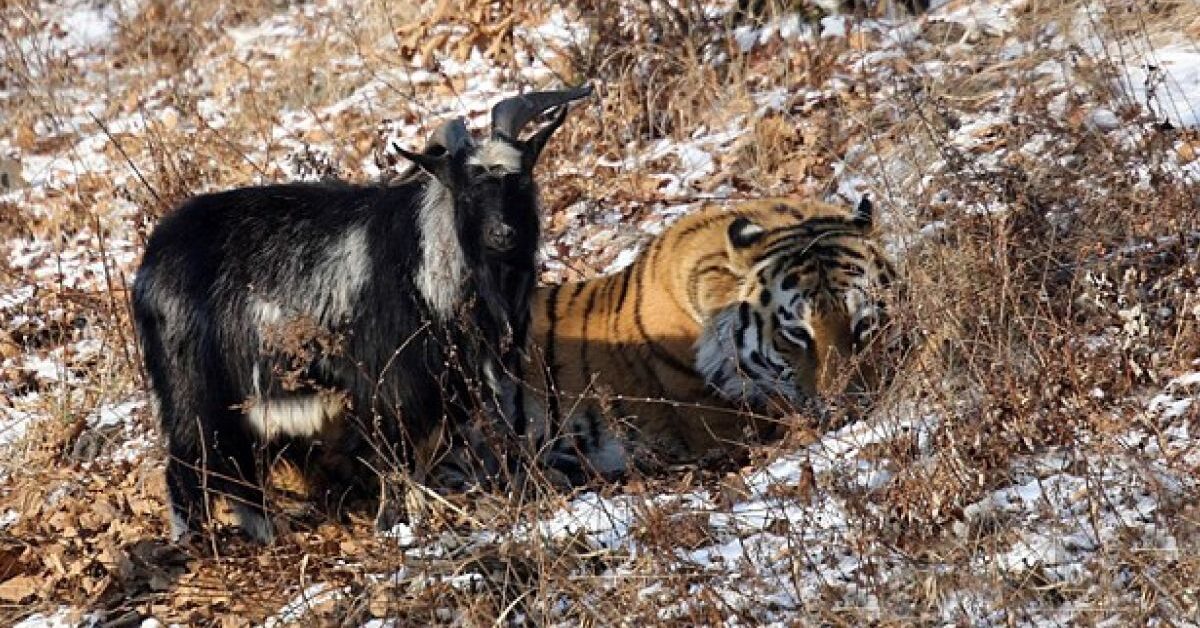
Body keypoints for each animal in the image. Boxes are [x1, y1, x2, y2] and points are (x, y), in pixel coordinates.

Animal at [132, 85, 592, 543]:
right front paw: (397, 527)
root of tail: (150, 264)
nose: (503, 235)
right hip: (193, 394)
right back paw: (197, 545)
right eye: (466, 192)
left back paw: (270, 536)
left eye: (521, 179)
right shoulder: (388, 388)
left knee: (238, 473)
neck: (425, 260)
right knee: (188, 471)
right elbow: (397, 465)